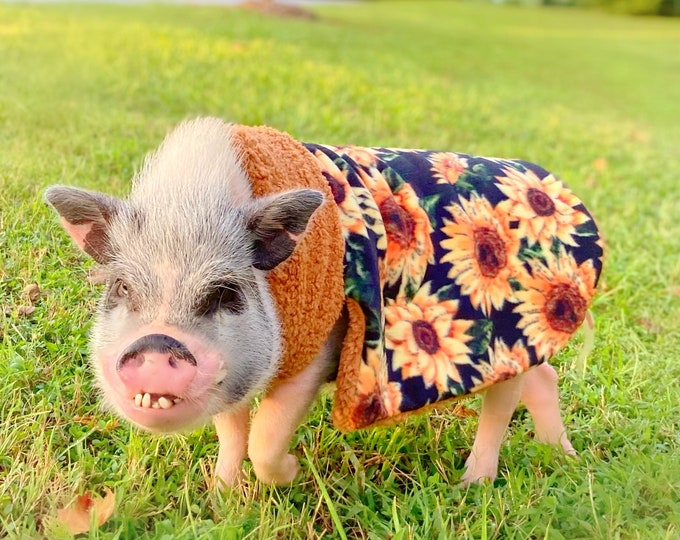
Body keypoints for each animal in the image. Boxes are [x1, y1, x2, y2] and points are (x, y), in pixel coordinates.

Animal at [46, 117, 603, 488]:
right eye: (122, 289)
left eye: (225, 293)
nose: (157, 345)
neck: (192, 205)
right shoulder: (236, 370)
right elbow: (231, 433)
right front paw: (222, 496)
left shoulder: (316, 355)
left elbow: (265, 436)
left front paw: (289, 474)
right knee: (544, 378)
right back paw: (562, 456)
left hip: (507, 338)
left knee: (504, 399)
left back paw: (474, 485)